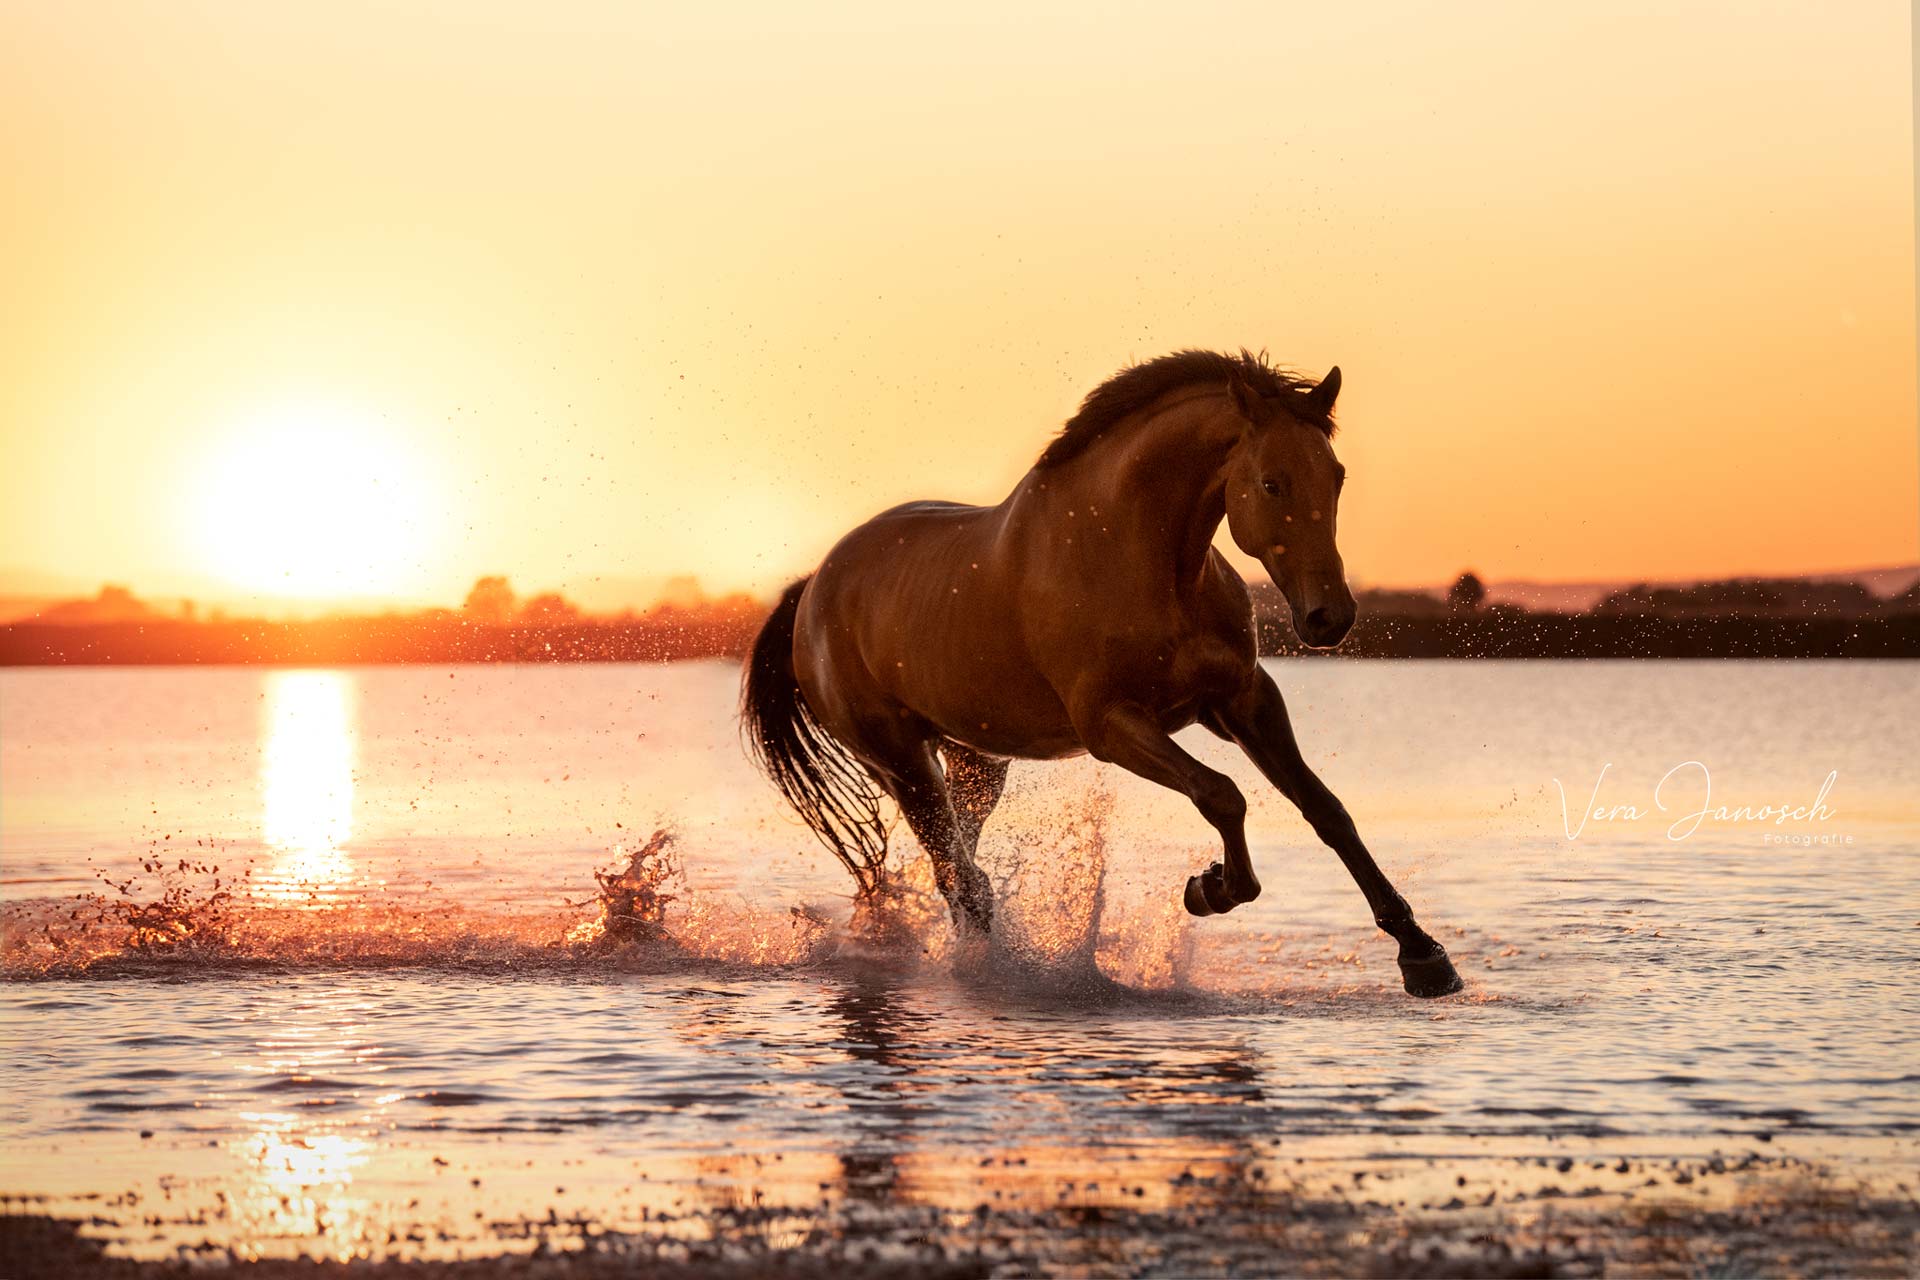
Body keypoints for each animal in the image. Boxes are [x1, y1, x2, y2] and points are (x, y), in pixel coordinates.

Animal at [741, 349, 1462, 997]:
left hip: (974, 763)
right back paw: (990, 975)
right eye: (1271, 482)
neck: (1134, 556)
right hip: (901, 761)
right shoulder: (1112, 725)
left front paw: (1423, 956)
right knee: (961, 879)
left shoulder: (1243, 699)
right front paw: (1211, 888)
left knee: (959, 871)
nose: (1328, 618)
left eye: (1335, 474)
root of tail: (812, 590)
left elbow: (1325, 808)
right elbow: (1222, 794)